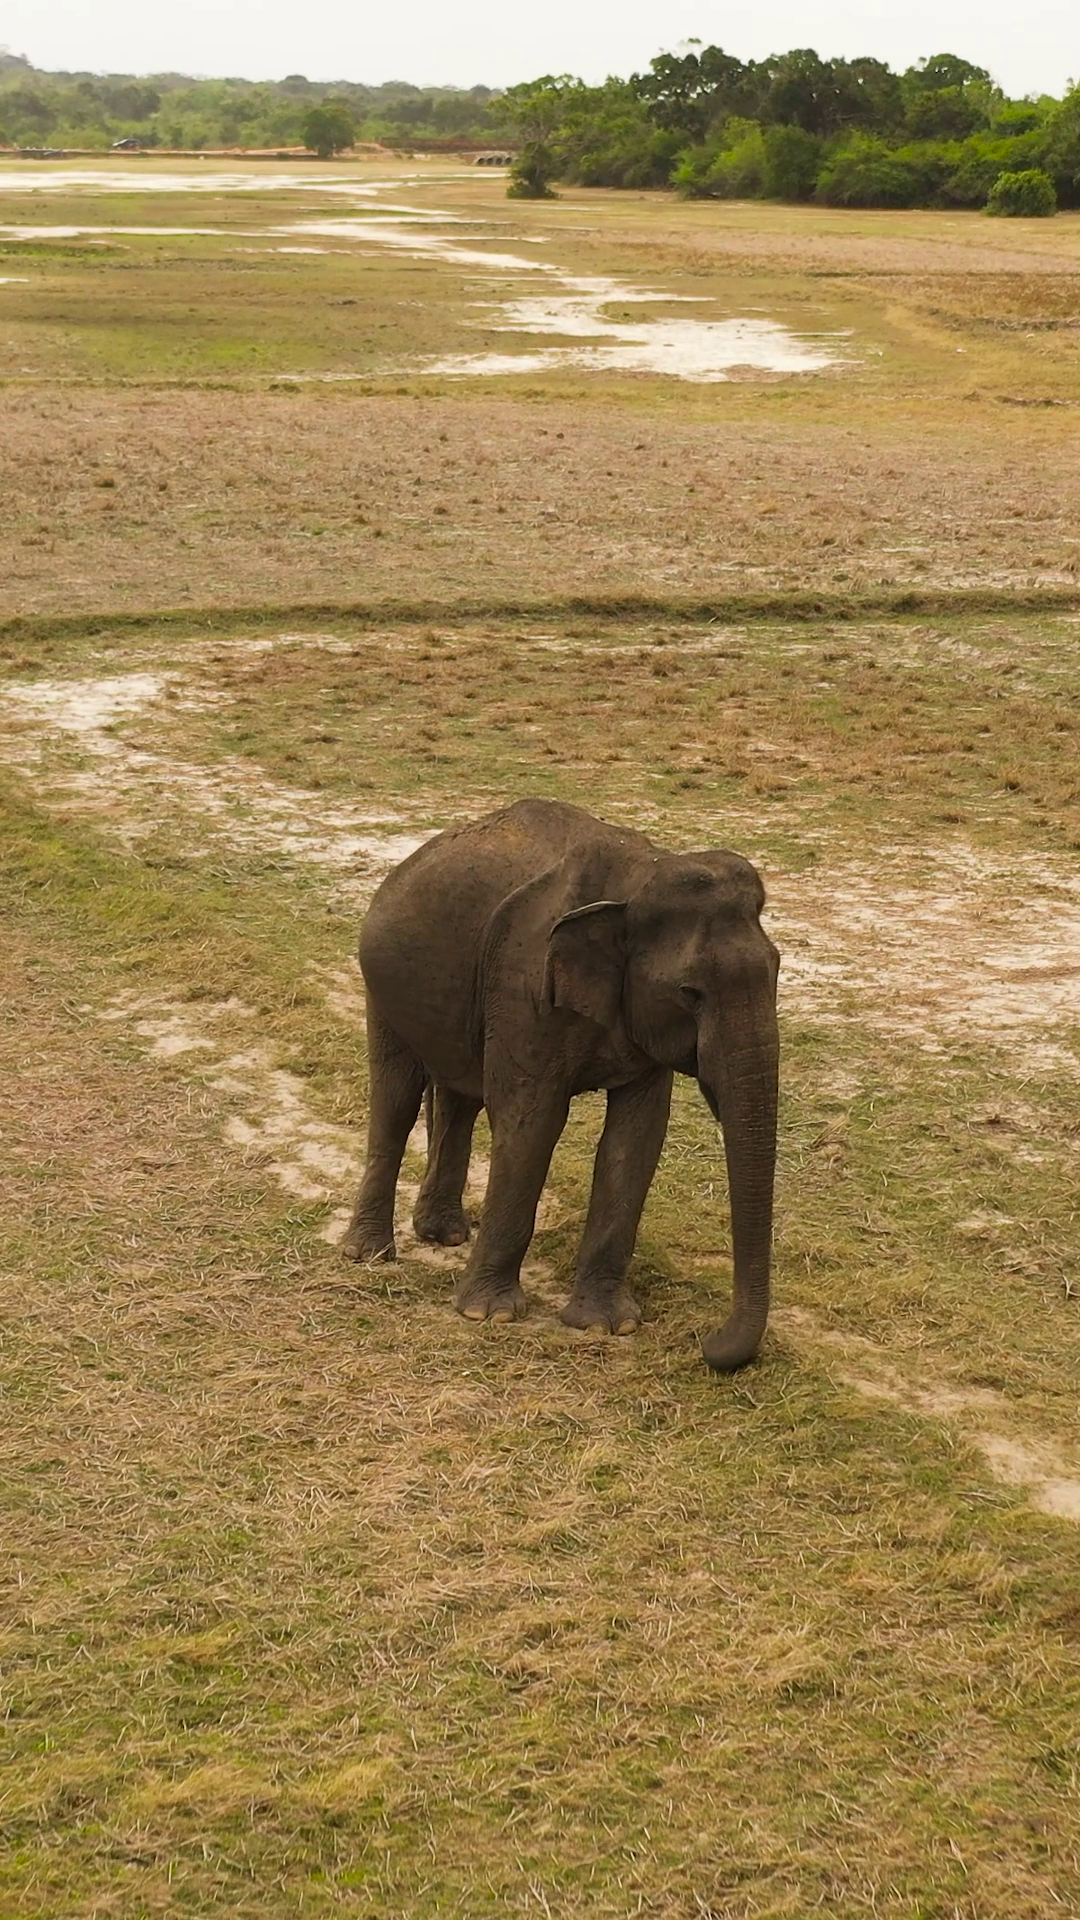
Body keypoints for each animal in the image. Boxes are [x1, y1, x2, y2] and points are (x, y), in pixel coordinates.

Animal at [343, 798, 779, 1372]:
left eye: (777, 971)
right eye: (690, 993)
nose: (704, 1341)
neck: (641, 873)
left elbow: (636, 1138)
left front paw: (608, 1325)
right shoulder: (524, 985)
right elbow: (532, 1124)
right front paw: (490, 1316)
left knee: (460, 1099)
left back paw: (445, 1235)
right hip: (382, 983)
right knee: (395, 1101)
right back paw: (368, 1255)